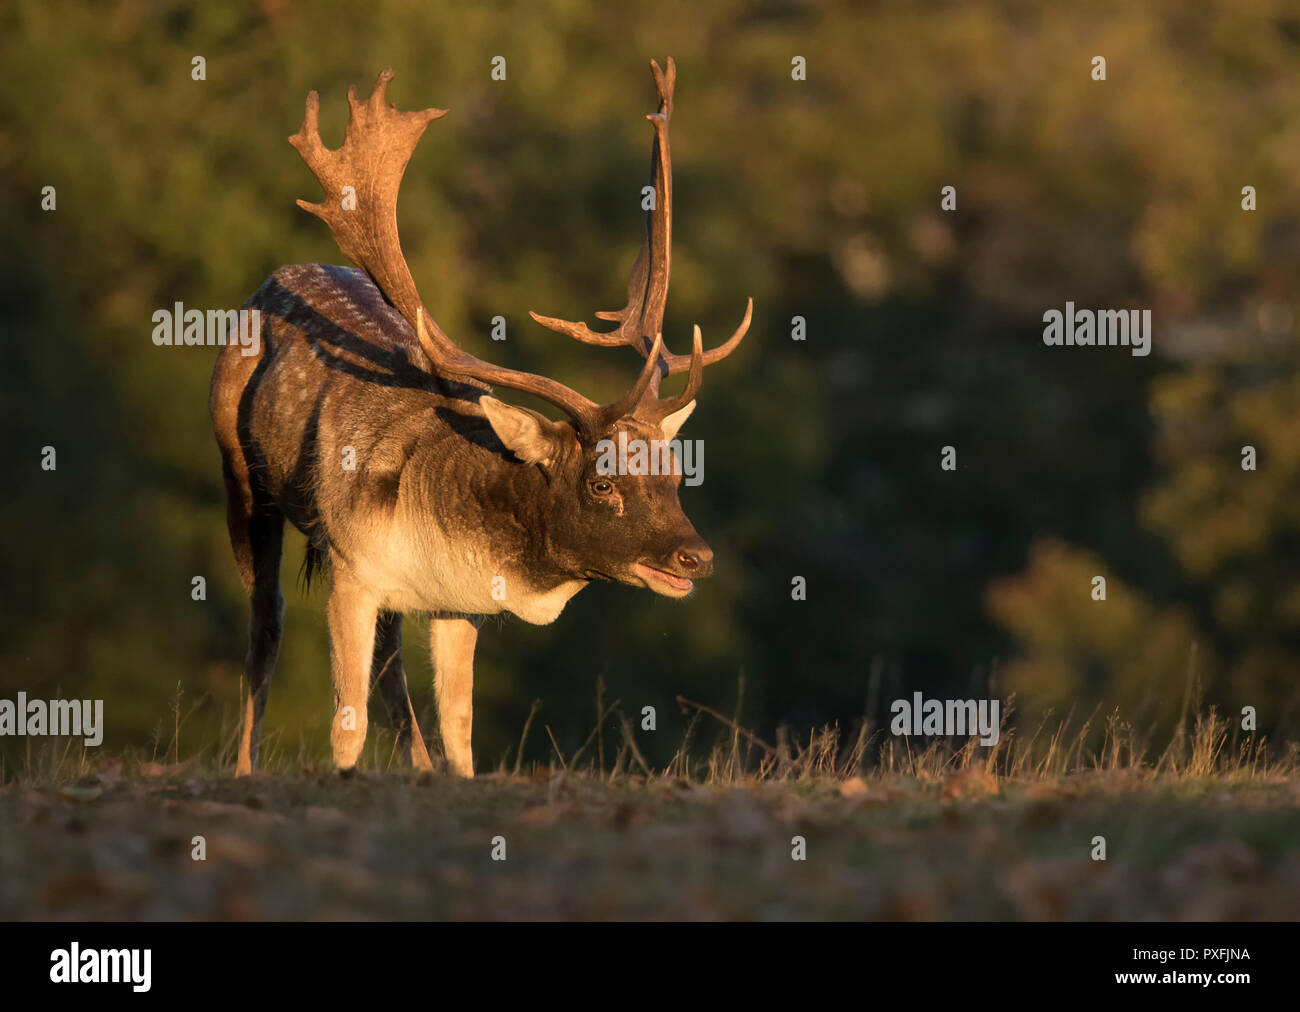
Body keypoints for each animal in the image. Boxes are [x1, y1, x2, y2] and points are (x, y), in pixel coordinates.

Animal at [210, 59, 751, 778]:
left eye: (675, 474)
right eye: (602, 481)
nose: (696, 555)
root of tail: (271, 278)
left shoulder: (456, 604)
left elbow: (460, 726)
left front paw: (448, 774)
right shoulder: (350, 569)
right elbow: (346, 723)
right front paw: (344, 776)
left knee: (389, 665)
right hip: (241, 476)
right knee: (264, 618)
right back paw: (245, 763)